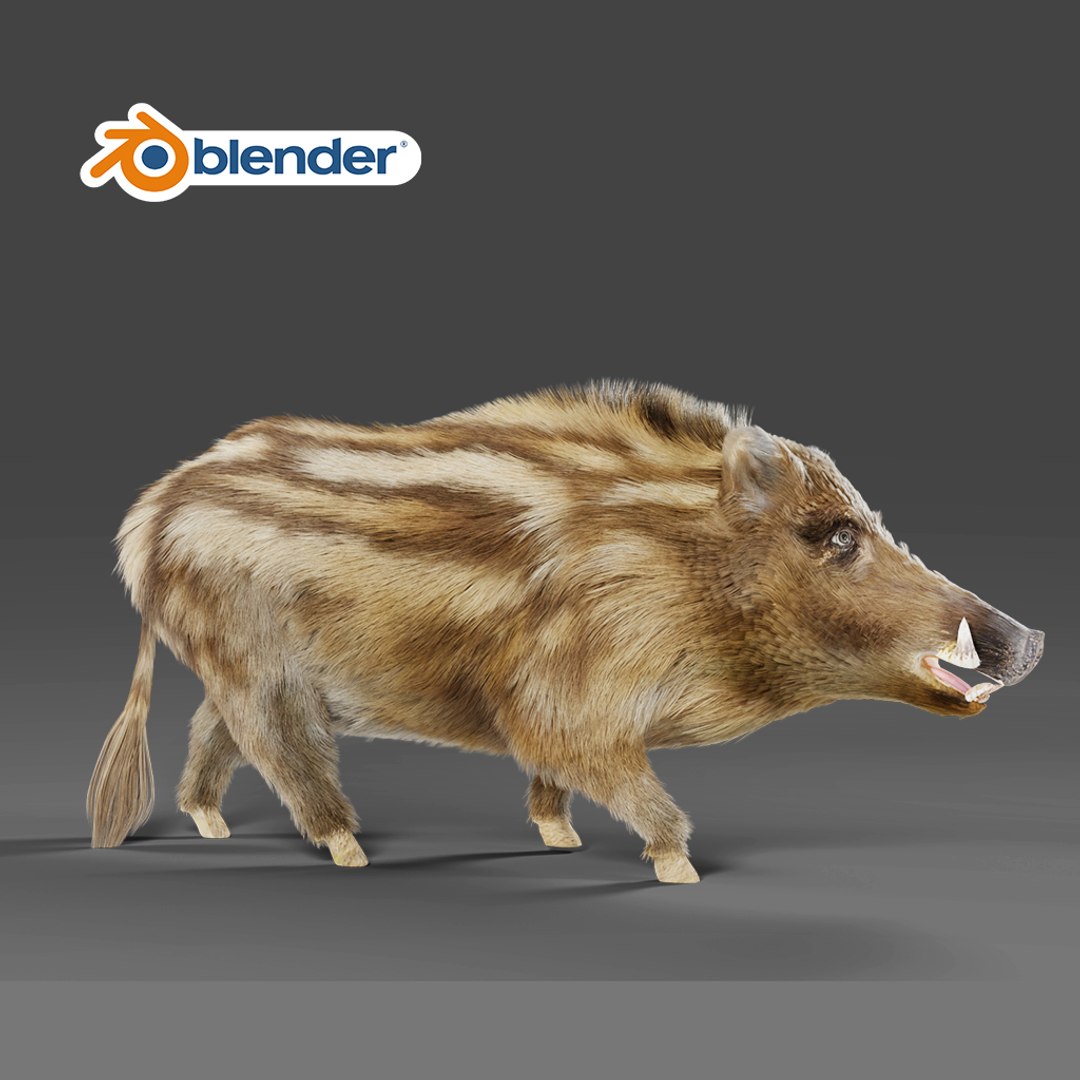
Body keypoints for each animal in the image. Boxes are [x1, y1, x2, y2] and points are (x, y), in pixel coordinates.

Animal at [87, 382, 1045, 883]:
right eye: (839, 538)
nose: (1031, 639)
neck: (686, 568)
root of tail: (153, 511)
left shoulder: (554, 710)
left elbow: (551, 779)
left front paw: (561, 840)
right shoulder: (571, 699)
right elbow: (623, 782)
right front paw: (680, 870)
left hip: (235, 668)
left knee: (209, 732)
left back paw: (211, 827)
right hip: (258, 668)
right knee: (280, 749)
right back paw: (349, 852)